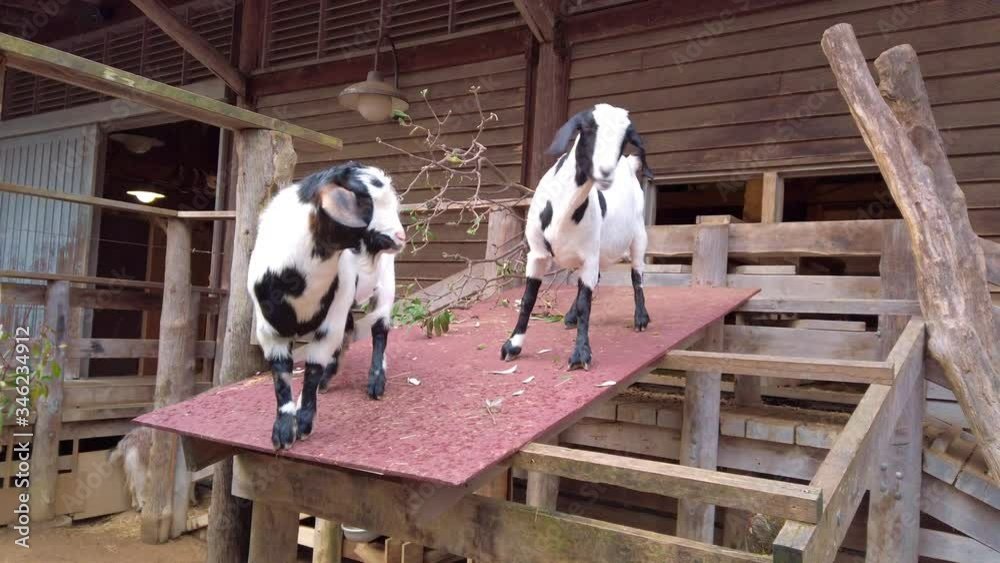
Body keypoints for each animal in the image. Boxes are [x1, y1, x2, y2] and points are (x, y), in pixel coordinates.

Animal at [248, 162, 405, 450]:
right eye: (365, 201)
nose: (401, 236)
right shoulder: (268, 331)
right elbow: (281, 379)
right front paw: (283, 433)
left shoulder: (329, 325)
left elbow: (311, 370)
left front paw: (304, 424)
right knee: (351, 328)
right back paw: (331, 375)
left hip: (385, 285)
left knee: (379, 329)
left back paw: (376, 382)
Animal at [500, 104, 653, 370]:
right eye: (588, 128)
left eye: (625, 139)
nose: (605, 172)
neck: (562, 211)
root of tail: (629, 165)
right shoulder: (537, 254)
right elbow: (528, 299)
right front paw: (513, 345)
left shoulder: (589, 255)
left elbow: (586, 304)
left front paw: (581, 353)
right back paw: (570, 316)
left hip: (637, 236)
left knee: (637, 275)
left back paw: (641, 318)